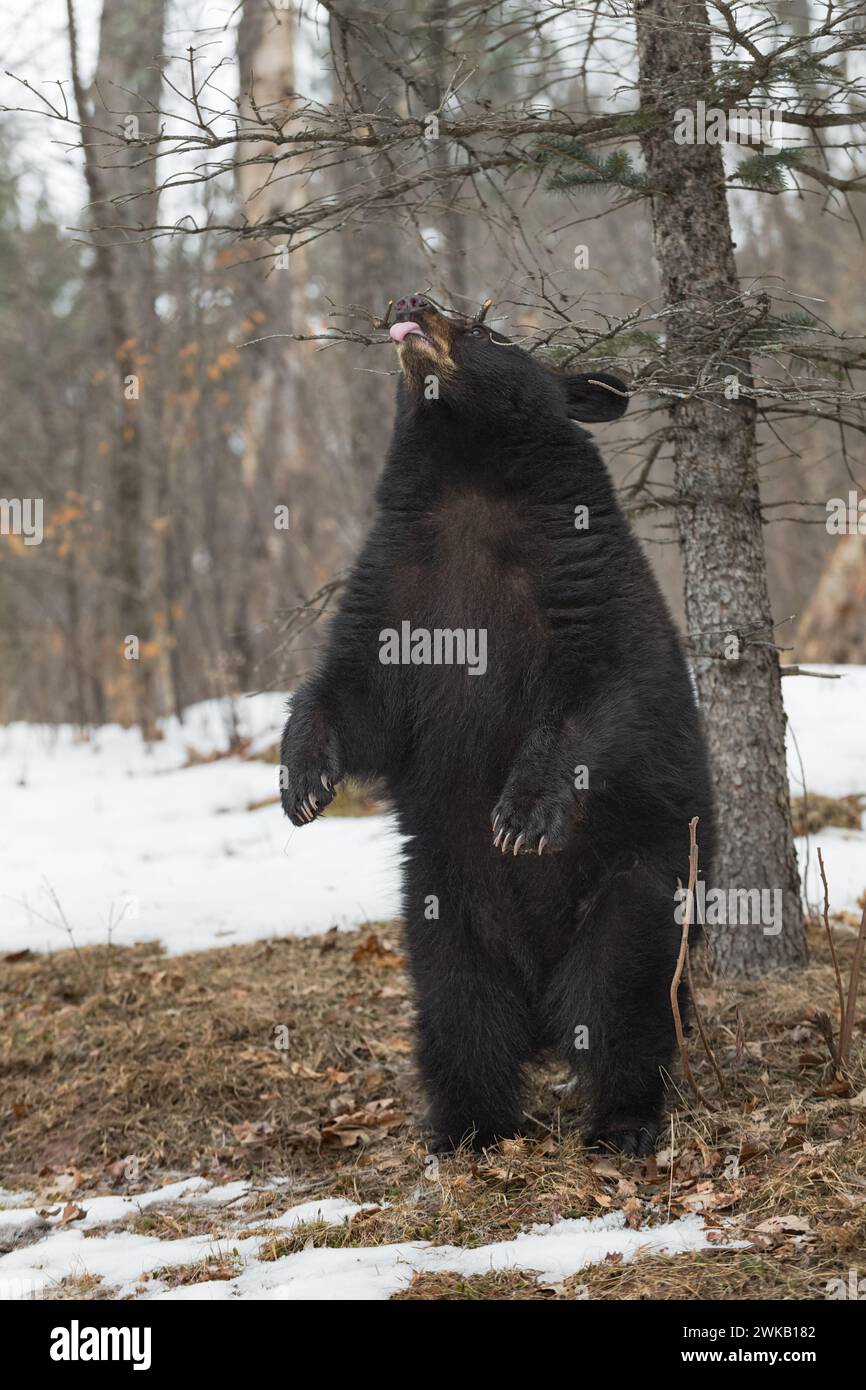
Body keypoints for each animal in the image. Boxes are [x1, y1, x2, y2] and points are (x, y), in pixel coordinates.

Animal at [280, 291, 715, 1157]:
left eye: (485, 330)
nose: (410, 301)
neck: (468, 481)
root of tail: (538, 992)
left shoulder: (582, 576)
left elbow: (603, 693)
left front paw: (522, 813)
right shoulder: (398, 585)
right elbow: (355, 691)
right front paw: (303, 782)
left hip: (638, 884)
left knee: (620, 1002)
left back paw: (624, 1120)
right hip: (440, 906)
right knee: (459, 1016)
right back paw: (464, 1128)